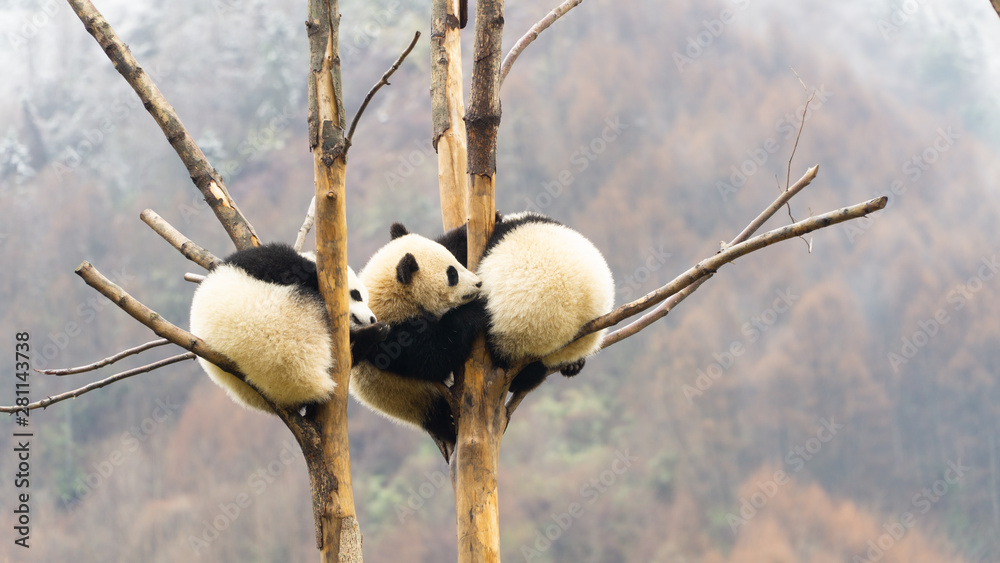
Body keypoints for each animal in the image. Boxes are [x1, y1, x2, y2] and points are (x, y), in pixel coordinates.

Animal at [189, 242, 386, 413]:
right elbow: (289, 267)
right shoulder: (263, 261)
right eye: (357, 295)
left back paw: (375, 333)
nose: (372, 318)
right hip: (294, 322)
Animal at [349, 226, 484, 444]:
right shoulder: (390, 335)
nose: (478, 283)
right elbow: (433, 358)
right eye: (452, 275)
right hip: (409, 400)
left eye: (457, 261)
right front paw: (474, 310)